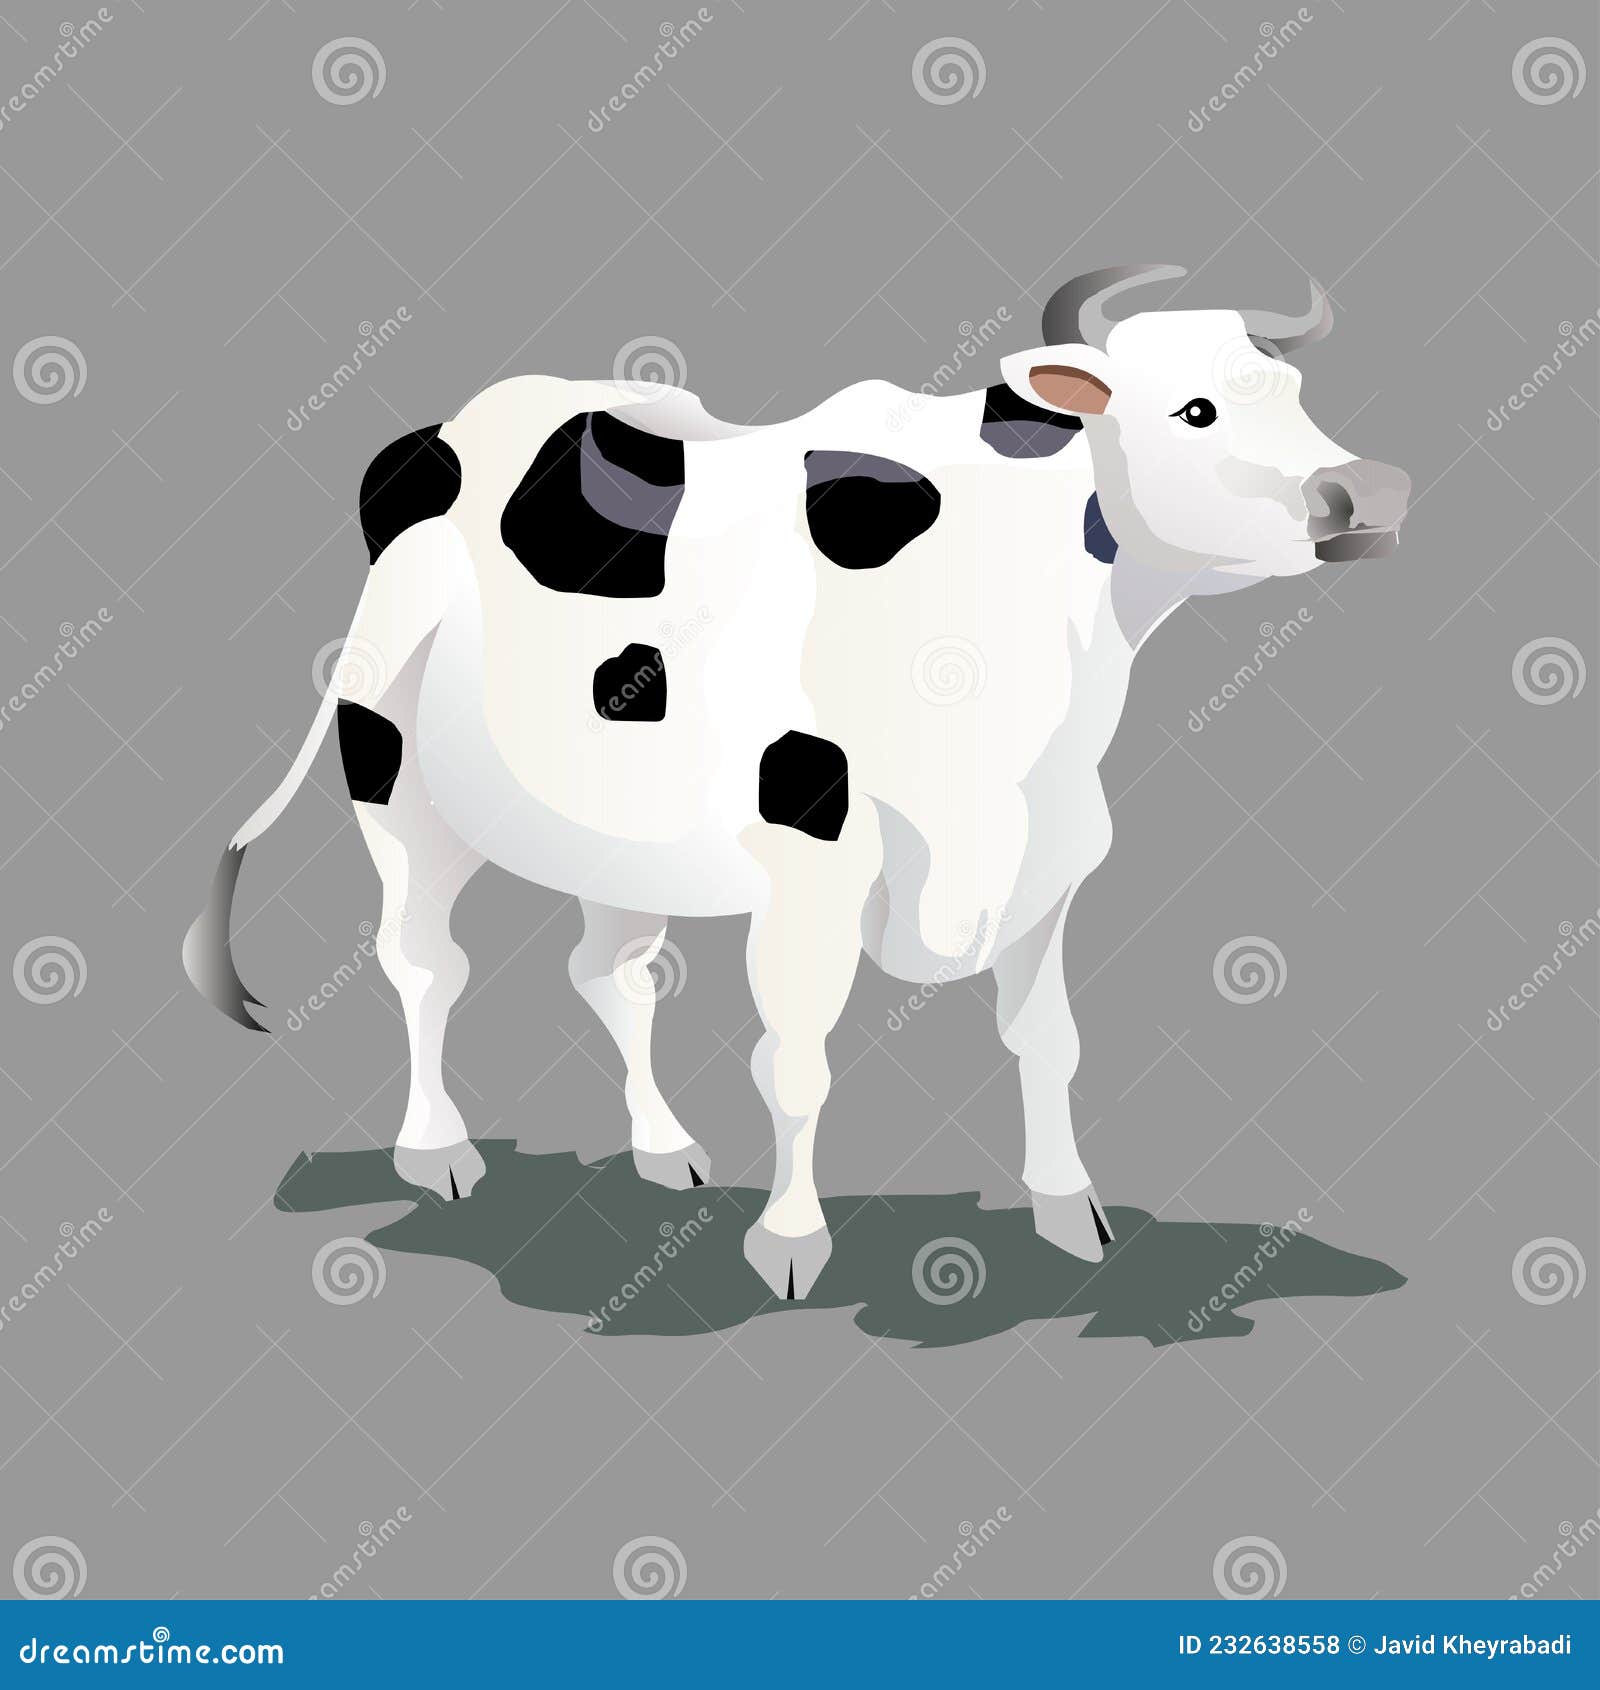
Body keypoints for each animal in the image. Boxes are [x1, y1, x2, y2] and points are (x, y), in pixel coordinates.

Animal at [184, 265, 1409, 1301]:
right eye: (1193, 411)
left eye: (1296, 392)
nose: (1370, 490)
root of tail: (440, 430)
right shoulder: (811, 863)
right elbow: (798, 1064)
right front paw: (789, 1242)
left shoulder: (1053, 858)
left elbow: (1048, 1042)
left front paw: (1070, 1212)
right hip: (394, 779)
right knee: (424, 961)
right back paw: (436, 1150)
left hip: (617, 831)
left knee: (607, 973)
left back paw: (663, 1148)